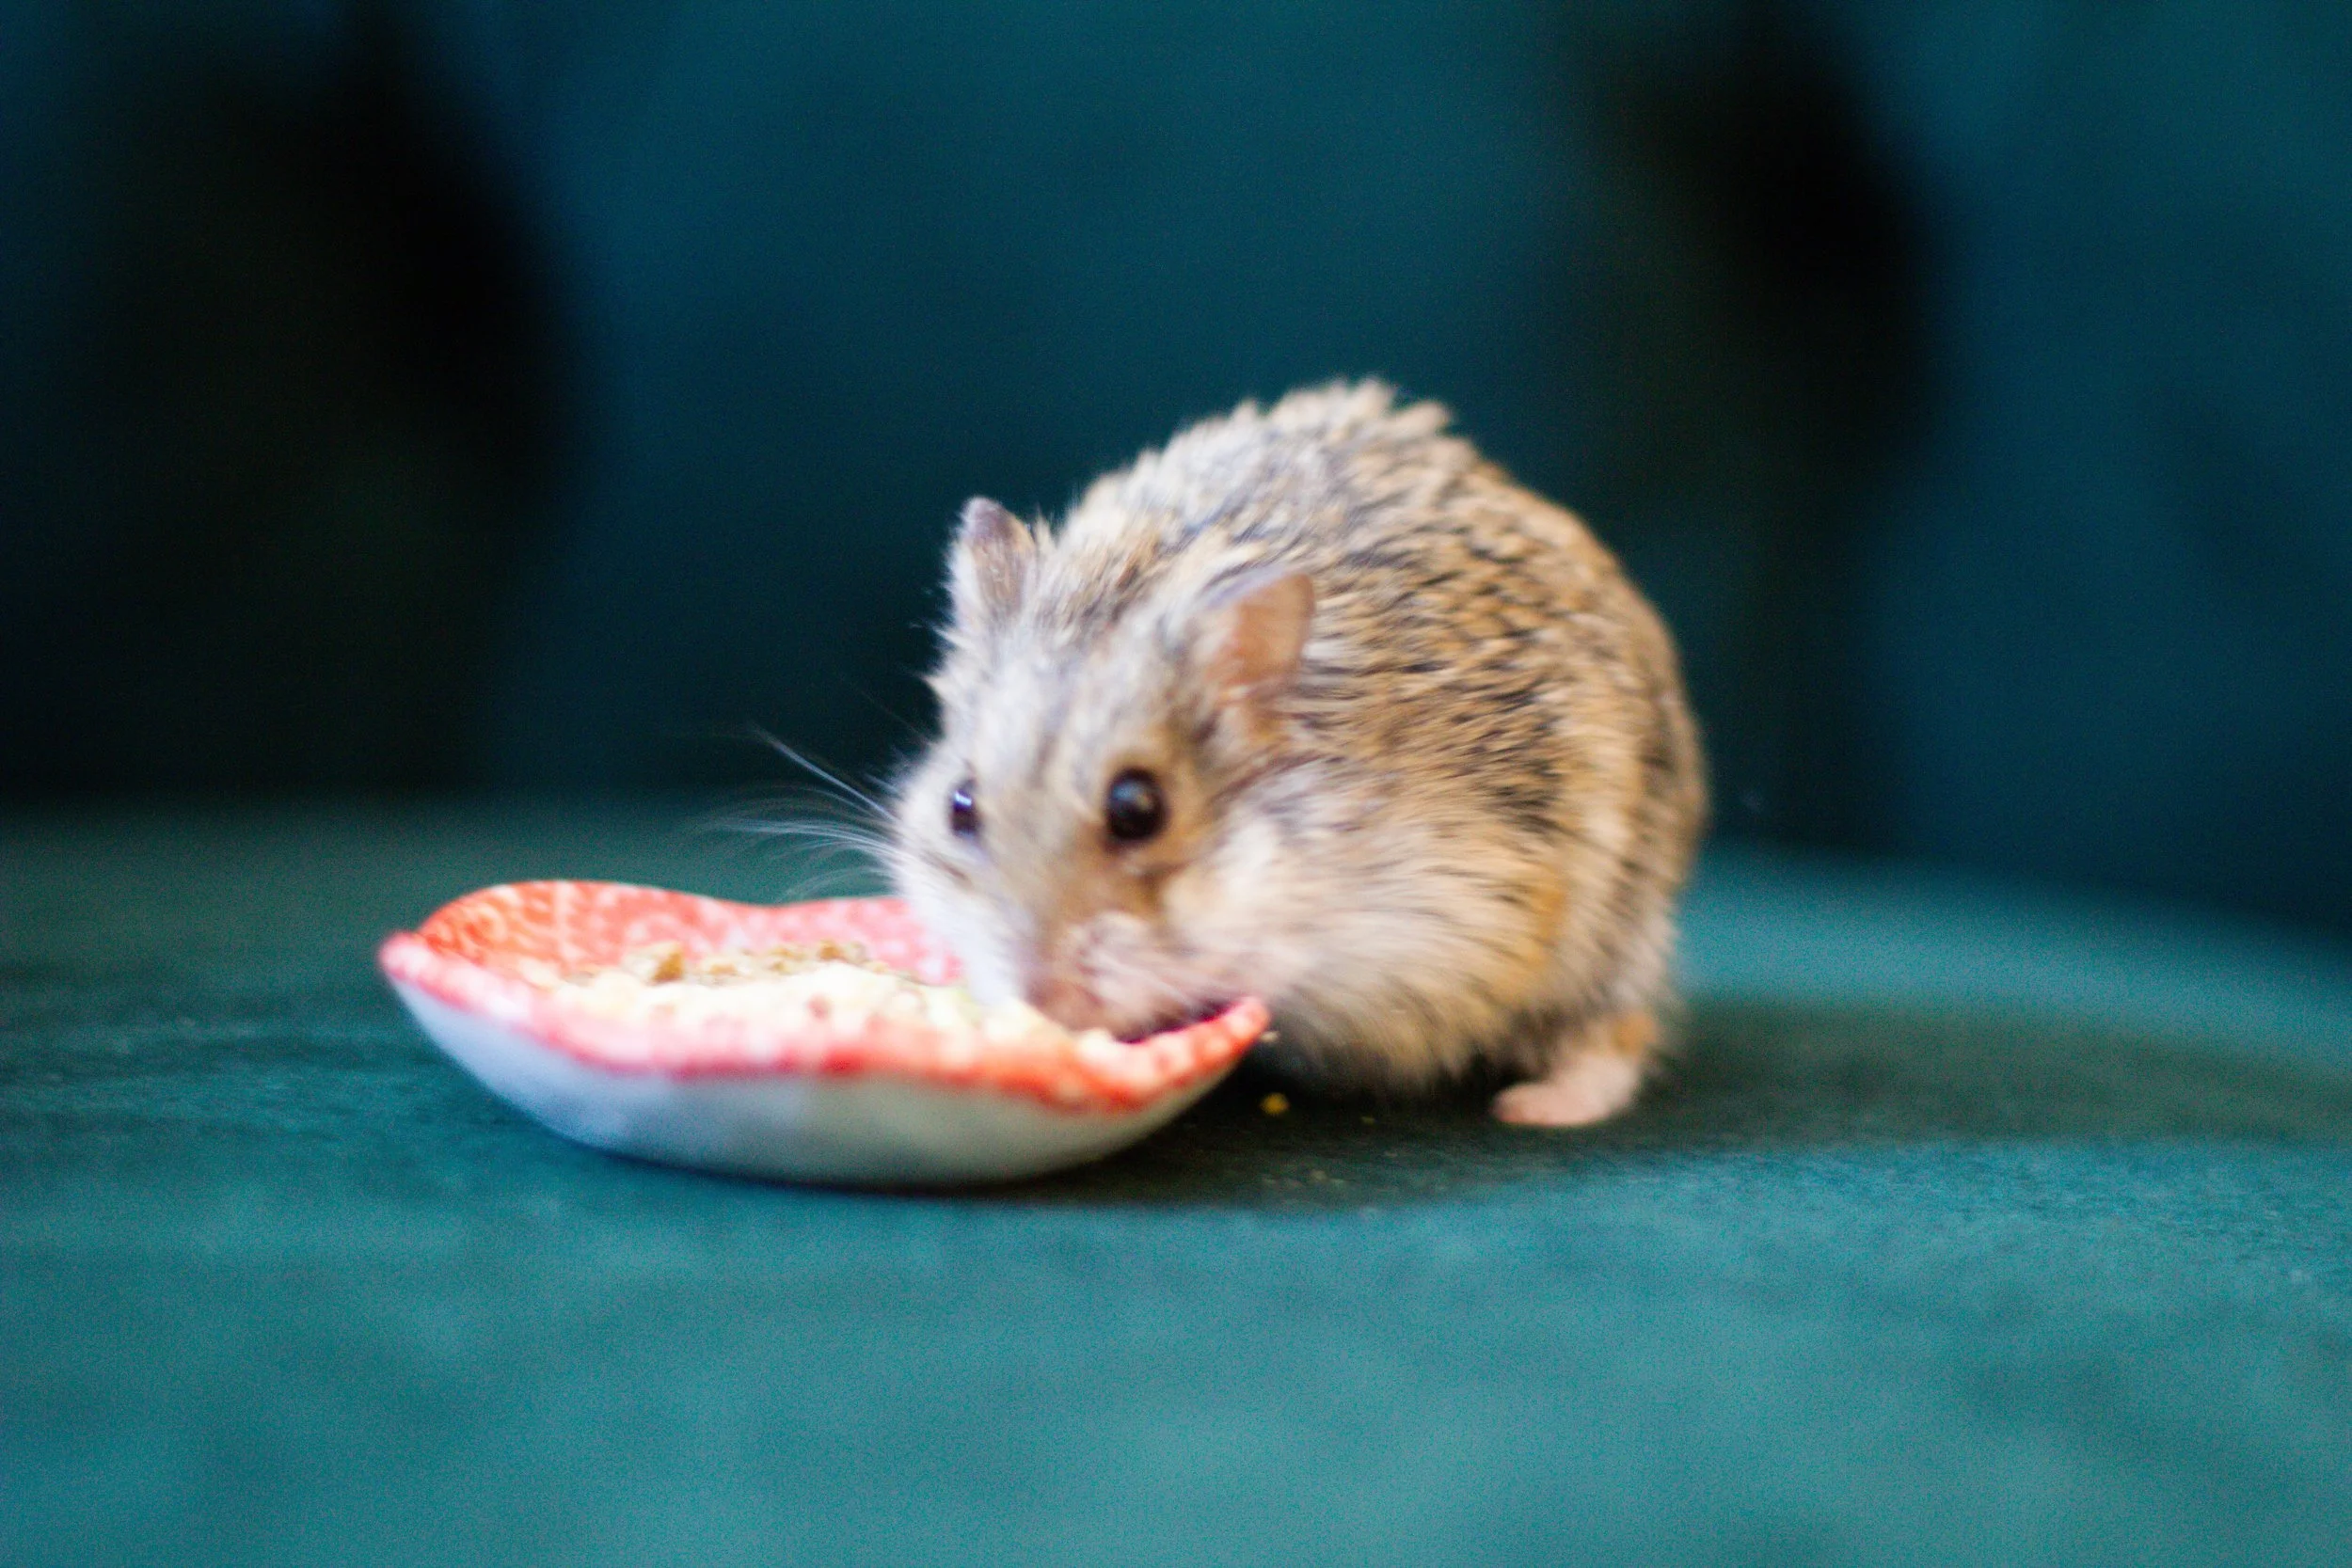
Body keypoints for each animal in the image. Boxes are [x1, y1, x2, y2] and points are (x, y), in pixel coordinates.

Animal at [886, 381, 1705, 1126]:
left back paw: (1538, 1107)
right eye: (959, 805)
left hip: (1621, 932)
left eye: (1138, 810)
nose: (1037, 1003)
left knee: (1616, 1035)